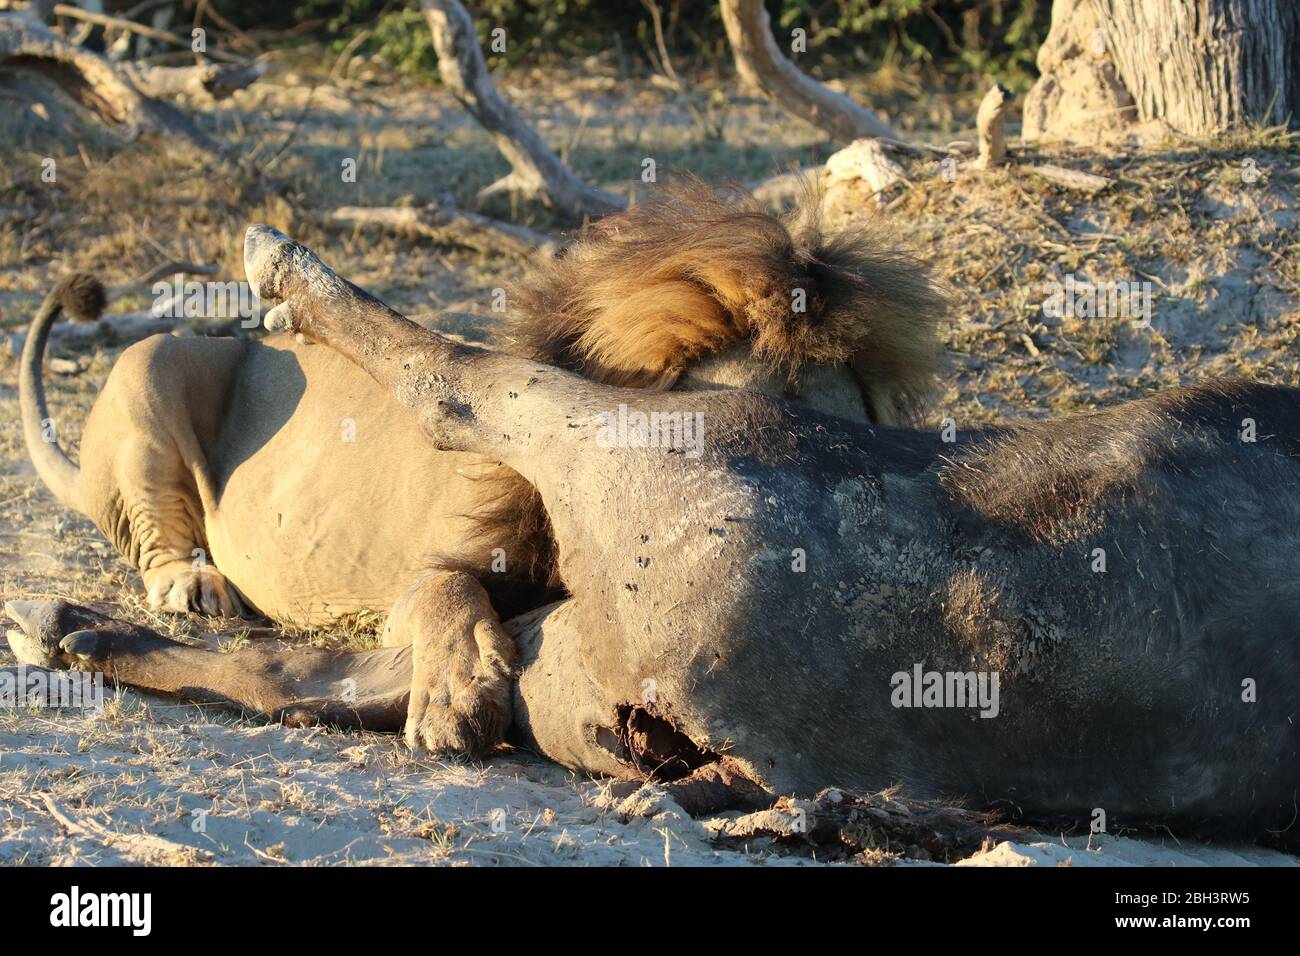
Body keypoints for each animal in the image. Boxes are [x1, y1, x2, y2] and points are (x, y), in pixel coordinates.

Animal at [19, 182, 946, 755]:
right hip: (155, 359)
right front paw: (459, 693)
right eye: (741, 425)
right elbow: (445, 587)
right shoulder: (414, 580)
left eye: (851, 438)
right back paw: (193, 585)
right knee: (156, 535)